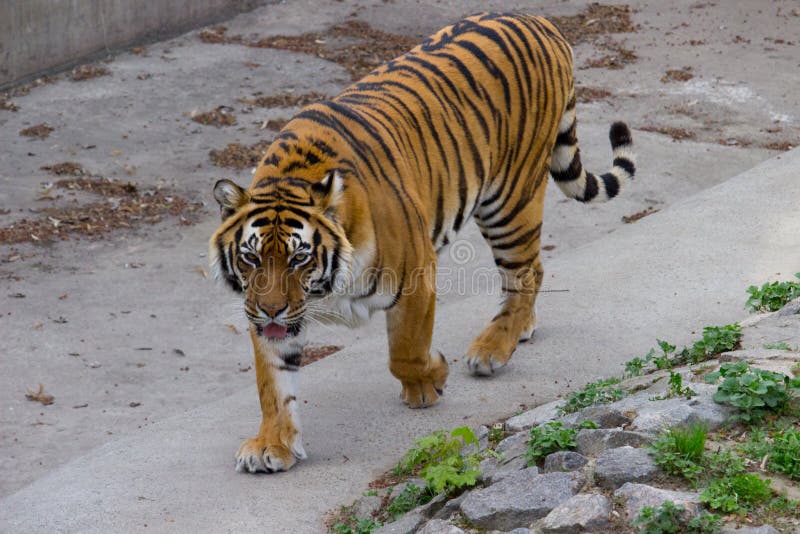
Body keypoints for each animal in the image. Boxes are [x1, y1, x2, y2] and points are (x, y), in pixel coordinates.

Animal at [209, 12, 636, 473]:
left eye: (299, 258)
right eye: (251, 258)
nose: (271, 309)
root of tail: (538, 20)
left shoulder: (415, 275)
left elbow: (405, 351)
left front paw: (430, 380)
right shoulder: (267, 314)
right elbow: (272, 384)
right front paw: (273, 443)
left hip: (510, 201)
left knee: (527, 271)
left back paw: (492, 349)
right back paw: (521, 327)